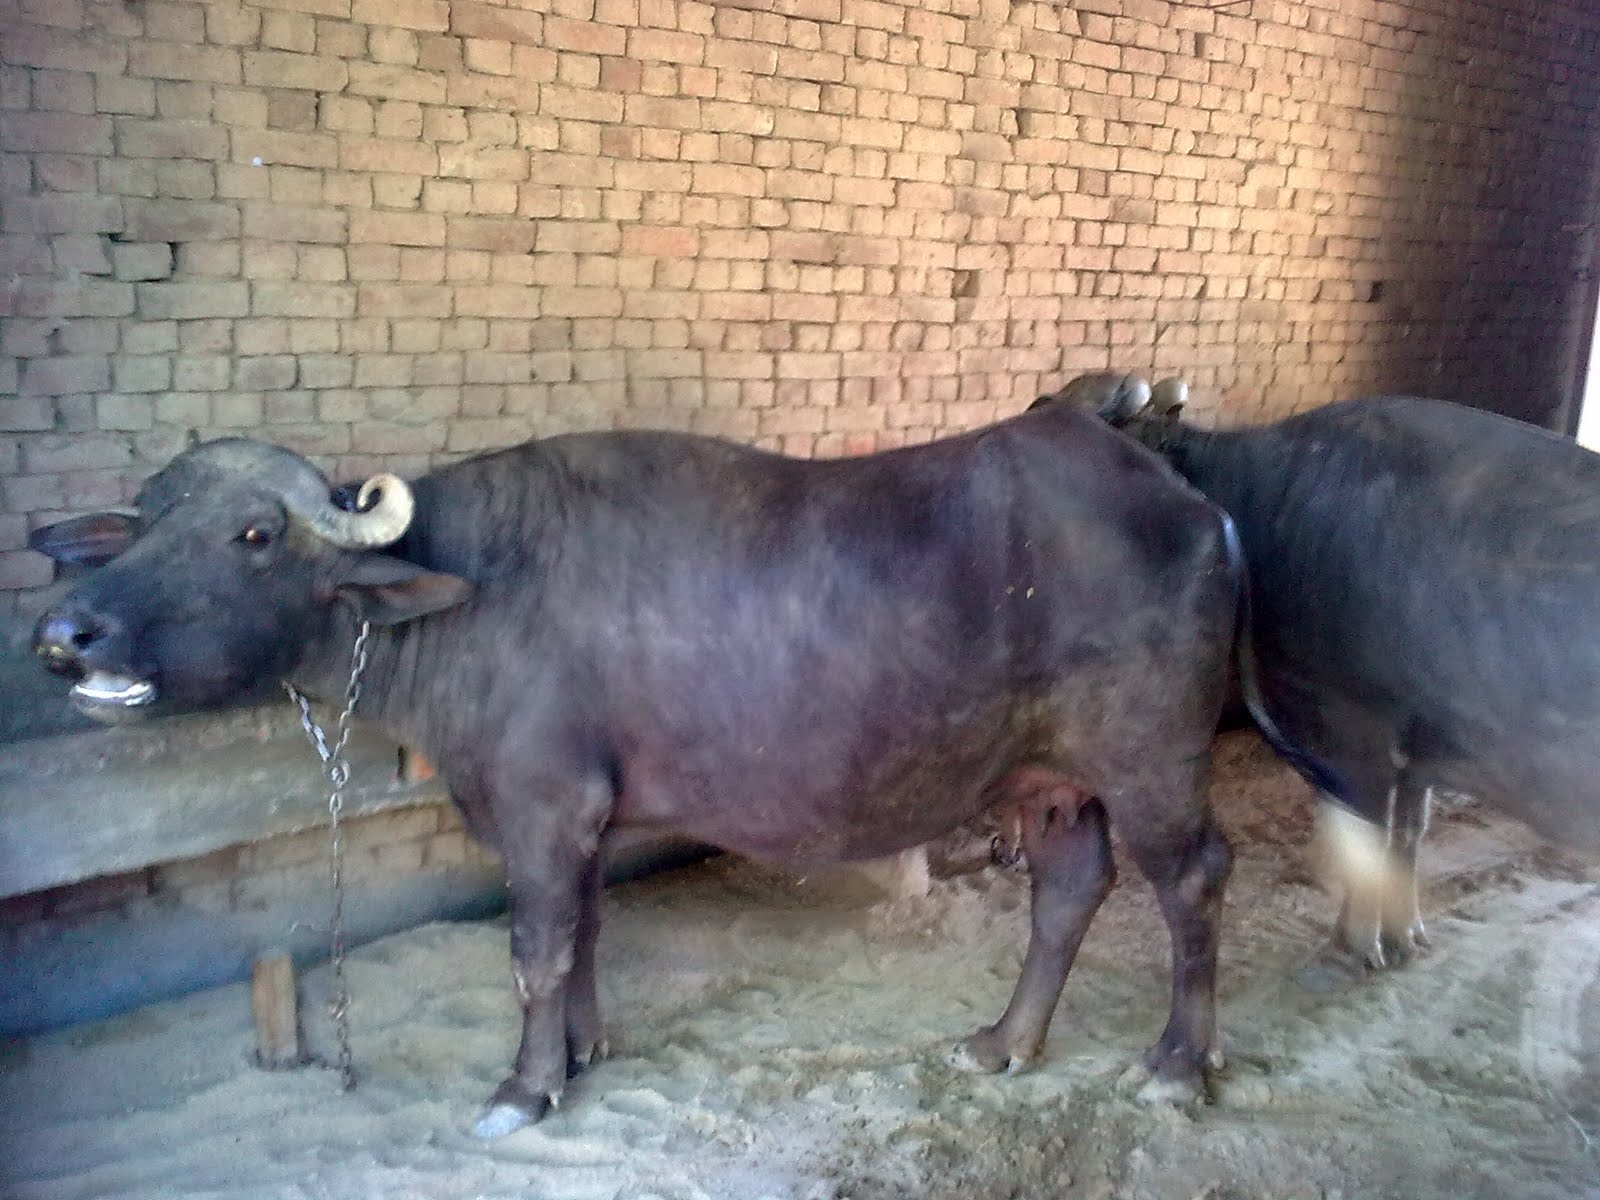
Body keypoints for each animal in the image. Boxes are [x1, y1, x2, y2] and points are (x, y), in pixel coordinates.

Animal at [31, 389, 1238, 1135]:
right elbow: (584, 940)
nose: (65, 633)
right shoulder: (582, 823)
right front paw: (580, 1055)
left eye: (252, 535)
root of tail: (1192, 506)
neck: (476, 596)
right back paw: (1004, 1042)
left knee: (1191, 881)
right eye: (143, 522)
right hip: (1055, 779)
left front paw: (523, 1088)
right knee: (1071, 887)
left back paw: (1176, 1066)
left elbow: (533, 953)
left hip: (1151, 763)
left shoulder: (541, 808)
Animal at [1047, 373, 1600, 971]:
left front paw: (1354, 945)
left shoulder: (1345, 724)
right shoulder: (1415, 749)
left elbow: (1368, 837)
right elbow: (1408, 831)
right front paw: (1405, 934)